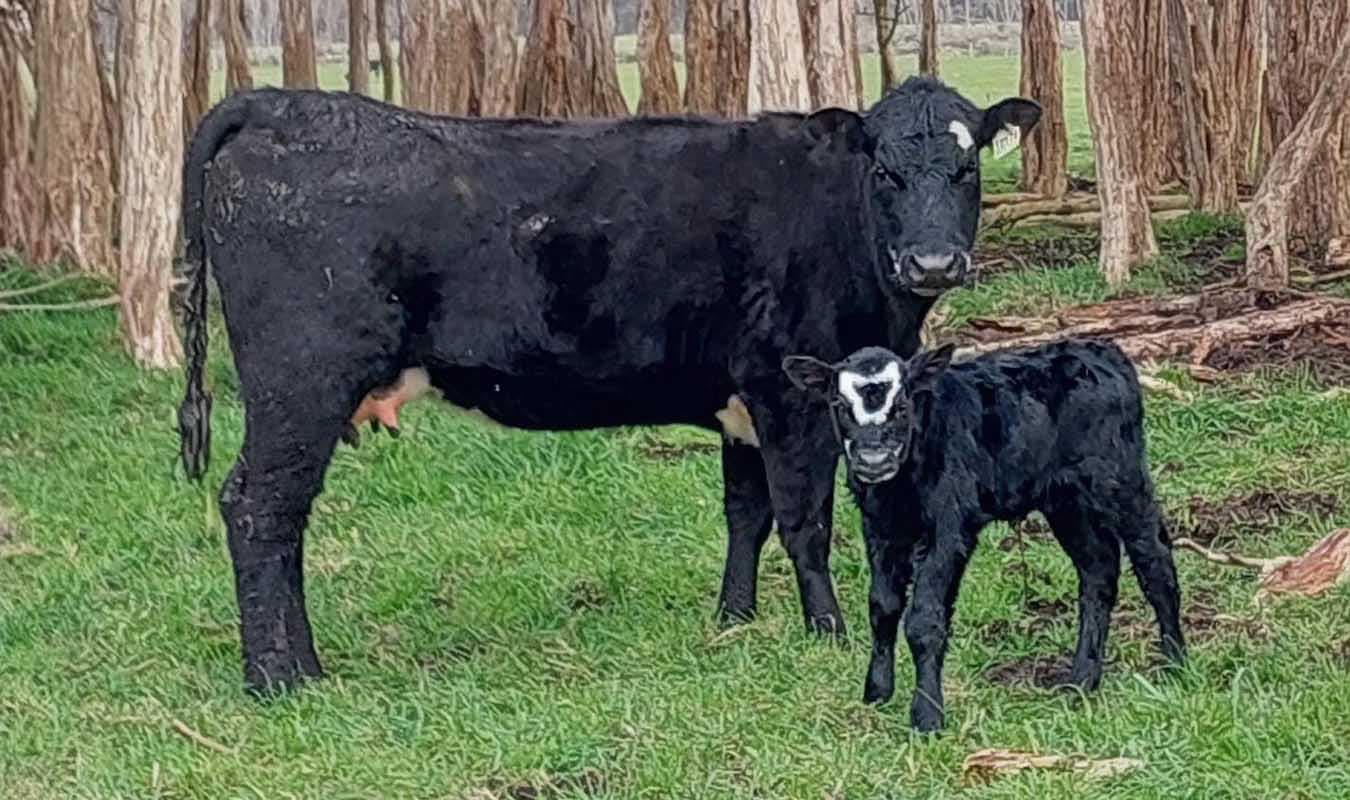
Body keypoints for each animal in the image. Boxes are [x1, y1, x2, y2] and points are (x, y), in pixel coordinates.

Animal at [176, 77, 1041, 694]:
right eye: (885, 171)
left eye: (966, 167)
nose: (934, 261)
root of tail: (279, 102)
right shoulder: (792, 394)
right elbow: (806, 521)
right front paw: (826, 630)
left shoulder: (741, 405)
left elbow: (747, 515)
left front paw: (734, 620)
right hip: (302, 383)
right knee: (260, 508)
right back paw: (284, 677)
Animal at [783, 339, 1186, 732]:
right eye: (839, 405)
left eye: (902, 405)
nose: (873, 461)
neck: (899, 489)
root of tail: (1103, 350)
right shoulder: (879, 528)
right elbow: (882, 607)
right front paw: (877, 693)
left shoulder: (949, 528)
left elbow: (924, 619)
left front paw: (927, 716)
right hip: (1065, 502)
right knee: (1099, 571)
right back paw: (1082, 680)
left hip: (1121, 480)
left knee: (1155, 562)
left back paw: (1175, 663)